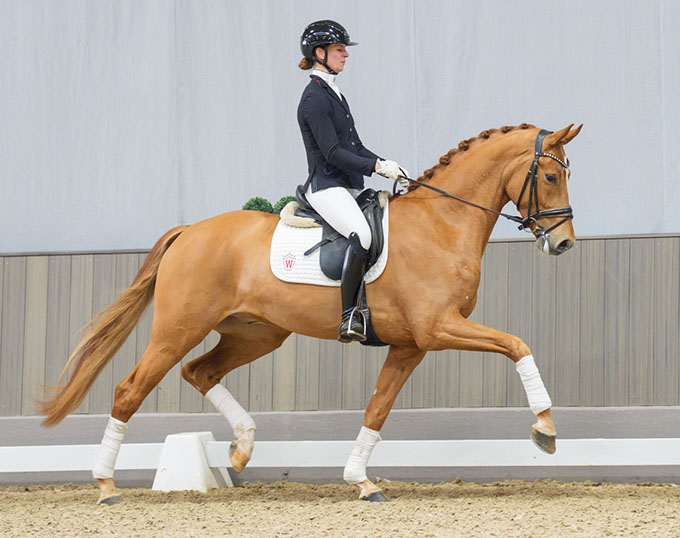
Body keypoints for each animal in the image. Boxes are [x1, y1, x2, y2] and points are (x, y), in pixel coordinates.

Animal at [41, 122, 582, 504]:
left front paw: (361, 480)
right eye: (551, 175)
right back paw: (106, 485)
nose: (563, 244)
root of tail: (189, 230)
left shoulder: (411, 344)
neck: (441, 223)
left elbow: (378, 407)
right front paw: (545, 430)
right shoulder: (438, 329)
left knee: (200, 371)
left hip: (257, 334)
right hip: (179, 329)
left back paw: (242, 448)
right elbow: (517, 344)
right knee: (130, 389)